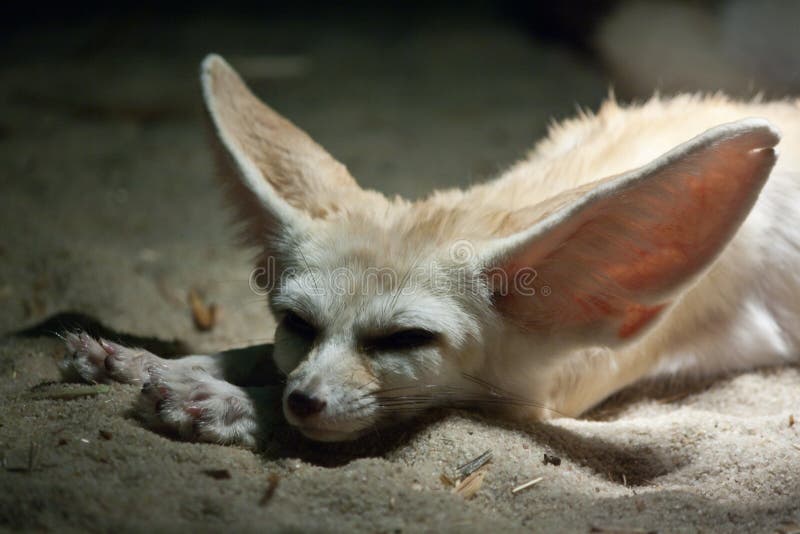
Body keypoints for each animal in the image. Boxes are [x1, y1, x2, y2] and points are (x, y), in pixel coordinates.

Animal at [62, 54, 800, 446]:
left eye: (403, 341)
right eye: (296, 324)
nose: (304, 400)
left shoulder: (551, 391)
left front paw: (222, 402)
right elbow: (249, 350)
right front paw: (143, 361)